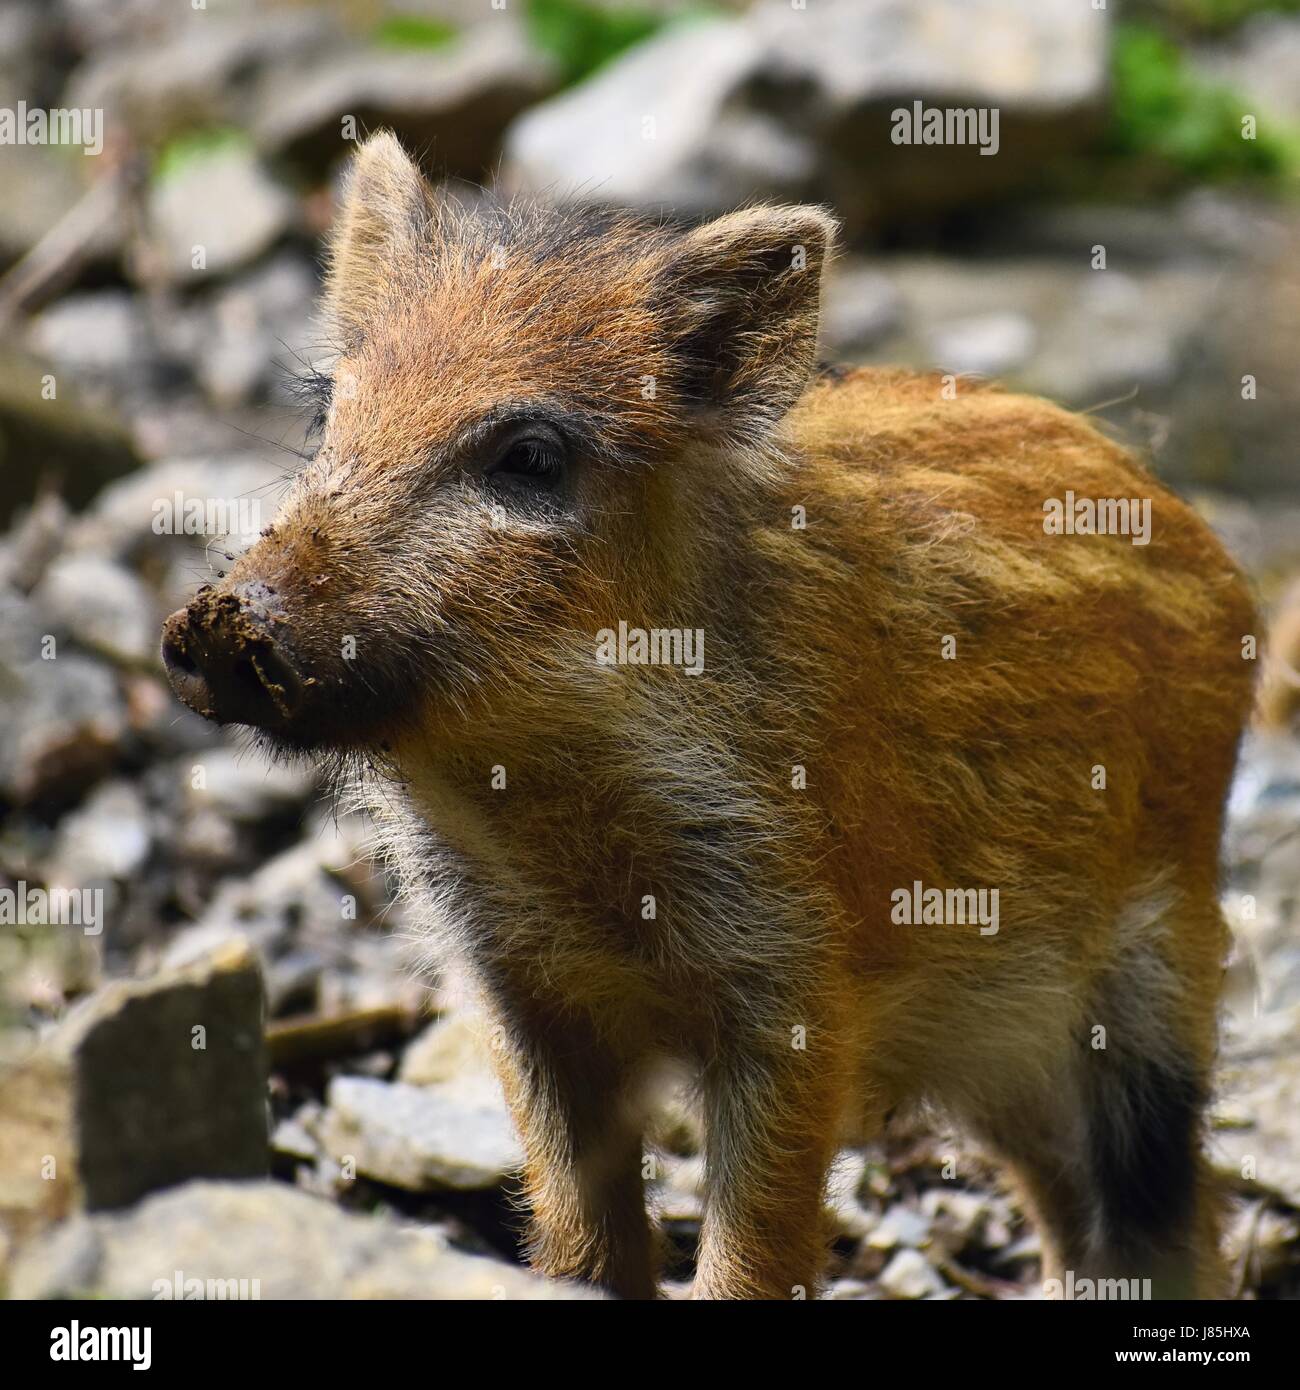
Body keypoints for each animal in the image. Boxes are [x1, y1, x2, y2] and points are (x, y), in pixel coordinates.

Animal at [162, 132, 1258, 1300]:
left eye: (531, 456)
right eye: (330, 412)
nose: (223, 621)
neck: (544, 805)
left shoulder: (794, 980)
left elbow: (754, 1244)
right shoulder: (514, 989)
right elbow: (580, 1227)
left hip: (1156, 976)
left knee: (1165, 1210)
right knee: (1060, 1194)